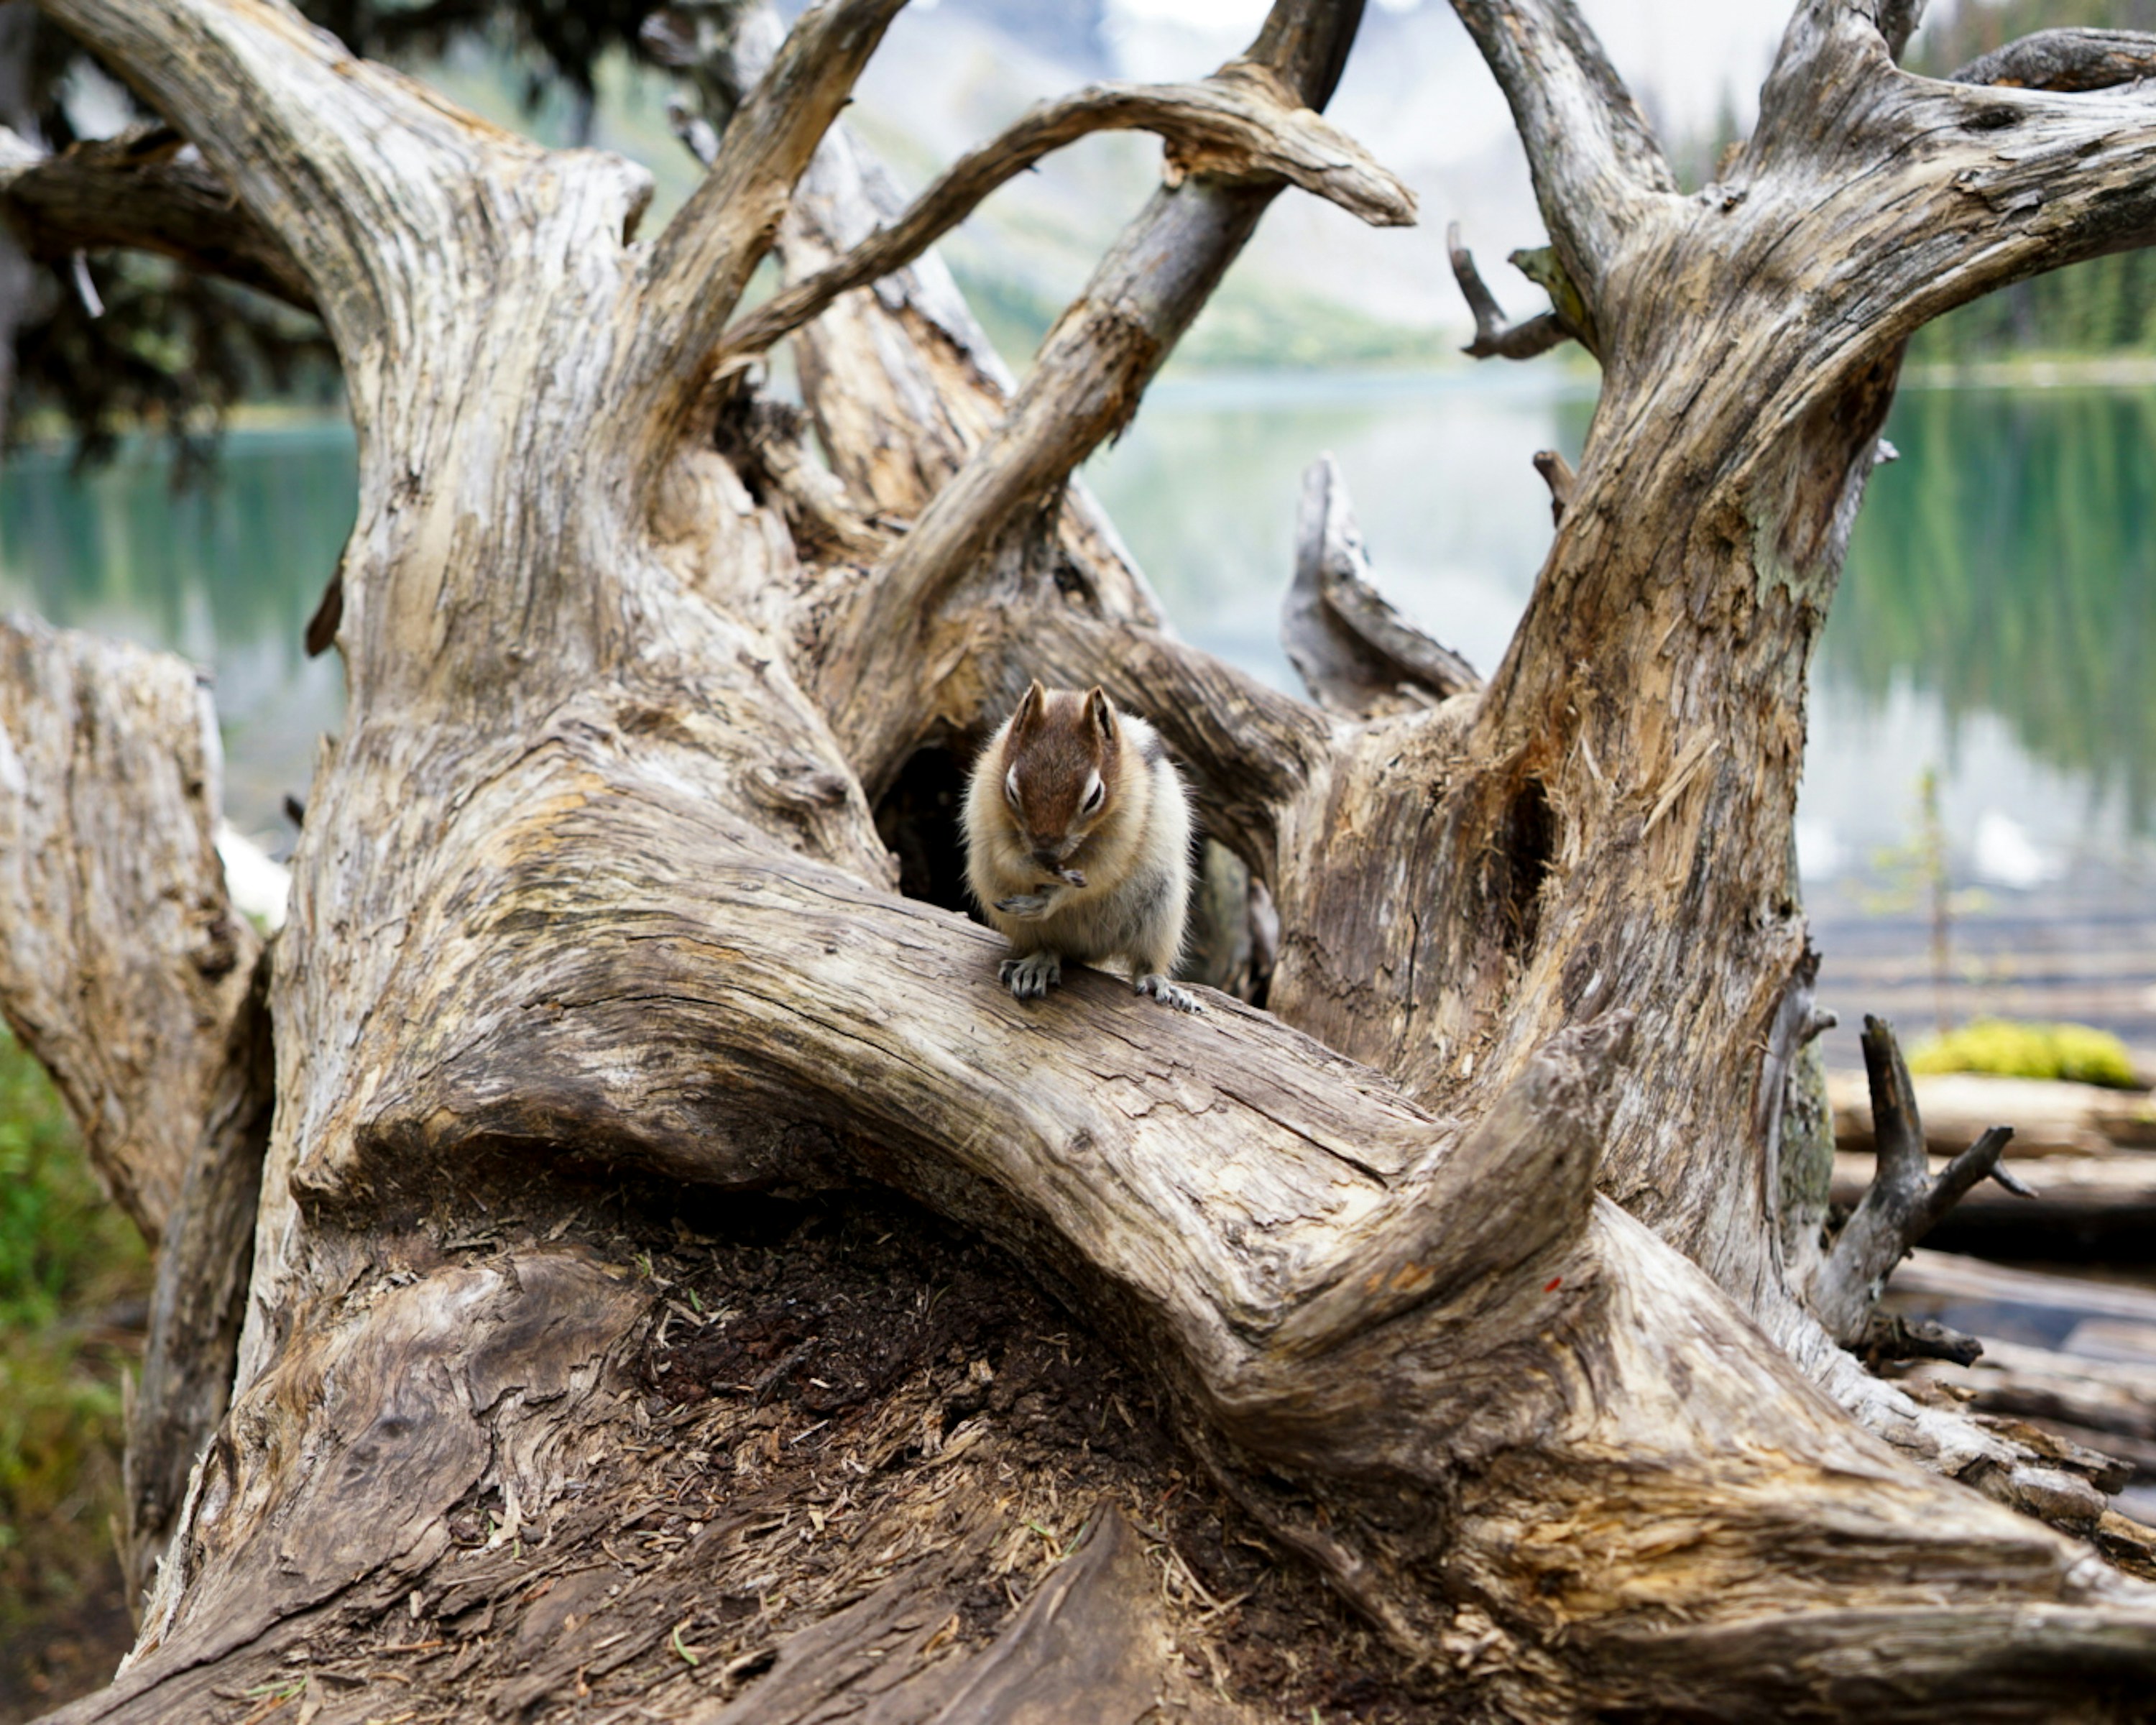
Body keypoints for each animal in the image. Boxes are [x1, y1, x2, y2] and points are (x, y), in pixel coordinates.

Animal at [962, 680, 1201, 1013]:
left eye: (1094, 796)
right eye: (1012, 790)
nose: (1046, 854)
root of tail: (1086, 950)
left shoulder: (1129, 820)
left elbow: (1101, 871)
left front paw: (1049, 898)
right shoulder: (989, 803)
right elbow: (1006, 858)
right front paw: (1037, 875)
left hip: (1161, 910)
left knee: (1146, 961)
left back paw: (1160, 983)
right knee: (1049, 947)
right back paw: (1037, 964)